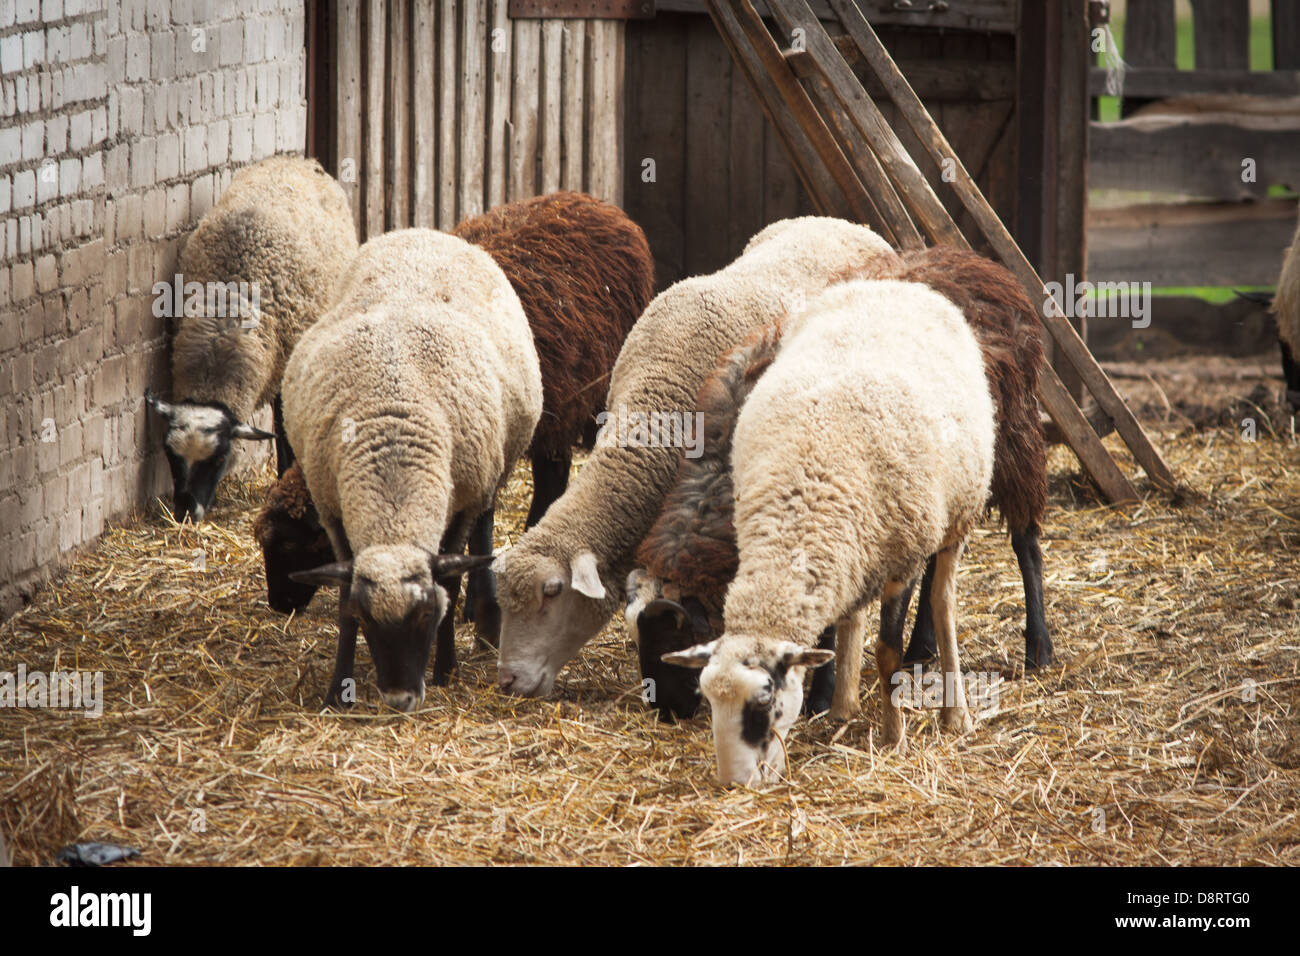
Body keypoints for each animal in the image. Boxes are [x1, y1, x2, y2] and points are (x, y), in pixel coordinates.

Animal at [145, 155, 358, 523]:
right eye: (170, 455)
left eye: (218, 458)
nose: (187, 513)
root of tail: (296, 159)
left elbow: (284, 427)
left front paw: (286, 478)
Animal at [281, 228, 543, 711]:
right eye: (366, 618)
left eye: (426, 615)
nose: (399, 697)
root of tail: (424, 231)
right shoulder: (331, 510)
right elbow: (343, 593)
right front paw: (339, 688)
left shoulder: (462, 503)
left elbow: (451, 578)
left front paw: (446, 669)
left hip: (491, 471)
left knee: (485, 528)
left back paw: (486, 620)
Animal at [632, 246, 1052, 720]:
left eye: (677, 640)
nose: (666, 711)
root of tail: (972, 259)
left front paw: (821, 693)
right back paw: (921, 647)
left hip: (1013, 440)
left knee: (1026, 541)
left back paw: (1038, 647)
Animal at [664, 279, 996, 786]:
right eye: (708, 696)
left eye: (765, 701)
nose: (735, 782)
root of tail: (892, 283)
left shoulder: (904, 559)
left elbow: (889, 653)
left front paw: (893, 737)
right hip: (858, 547)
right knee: (851, 613)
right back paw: (843, 706)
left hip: (957, 514)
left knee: (943, 601)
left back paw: (954, 713)